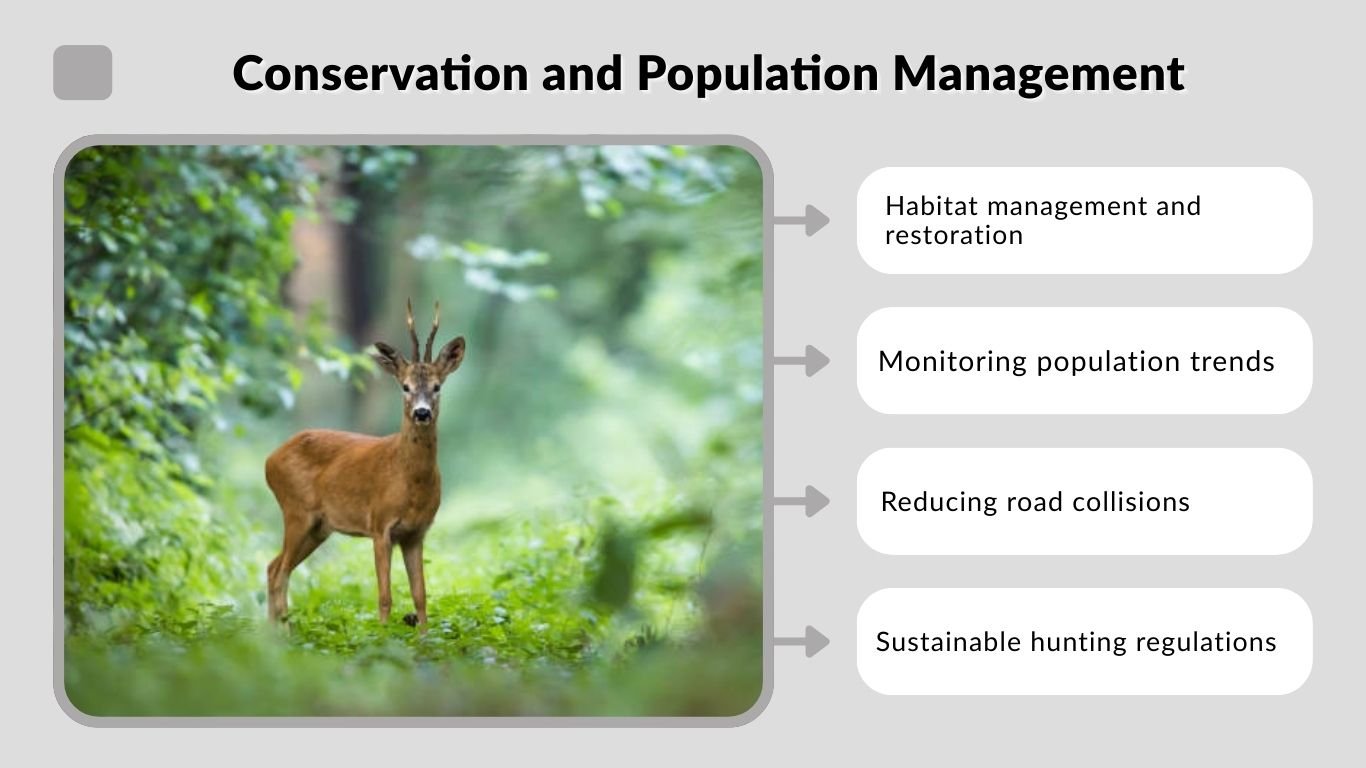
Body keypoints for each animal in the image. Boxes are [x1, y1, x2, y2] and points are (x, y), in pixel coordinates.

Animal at [264, 300, 465, 629]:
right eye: (405, 386)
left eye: (437, 386)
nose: (422, 413)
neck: (409, 481)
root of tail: (270, 460)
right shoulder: (380, 525)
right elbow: (384, 597)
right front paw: (380, 637)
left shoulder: (416, 532)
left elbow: (421, 596)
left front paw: (425, 638)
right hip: (296, 511)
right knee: (279, 572)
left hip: (319, 527)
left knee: (274, 567)